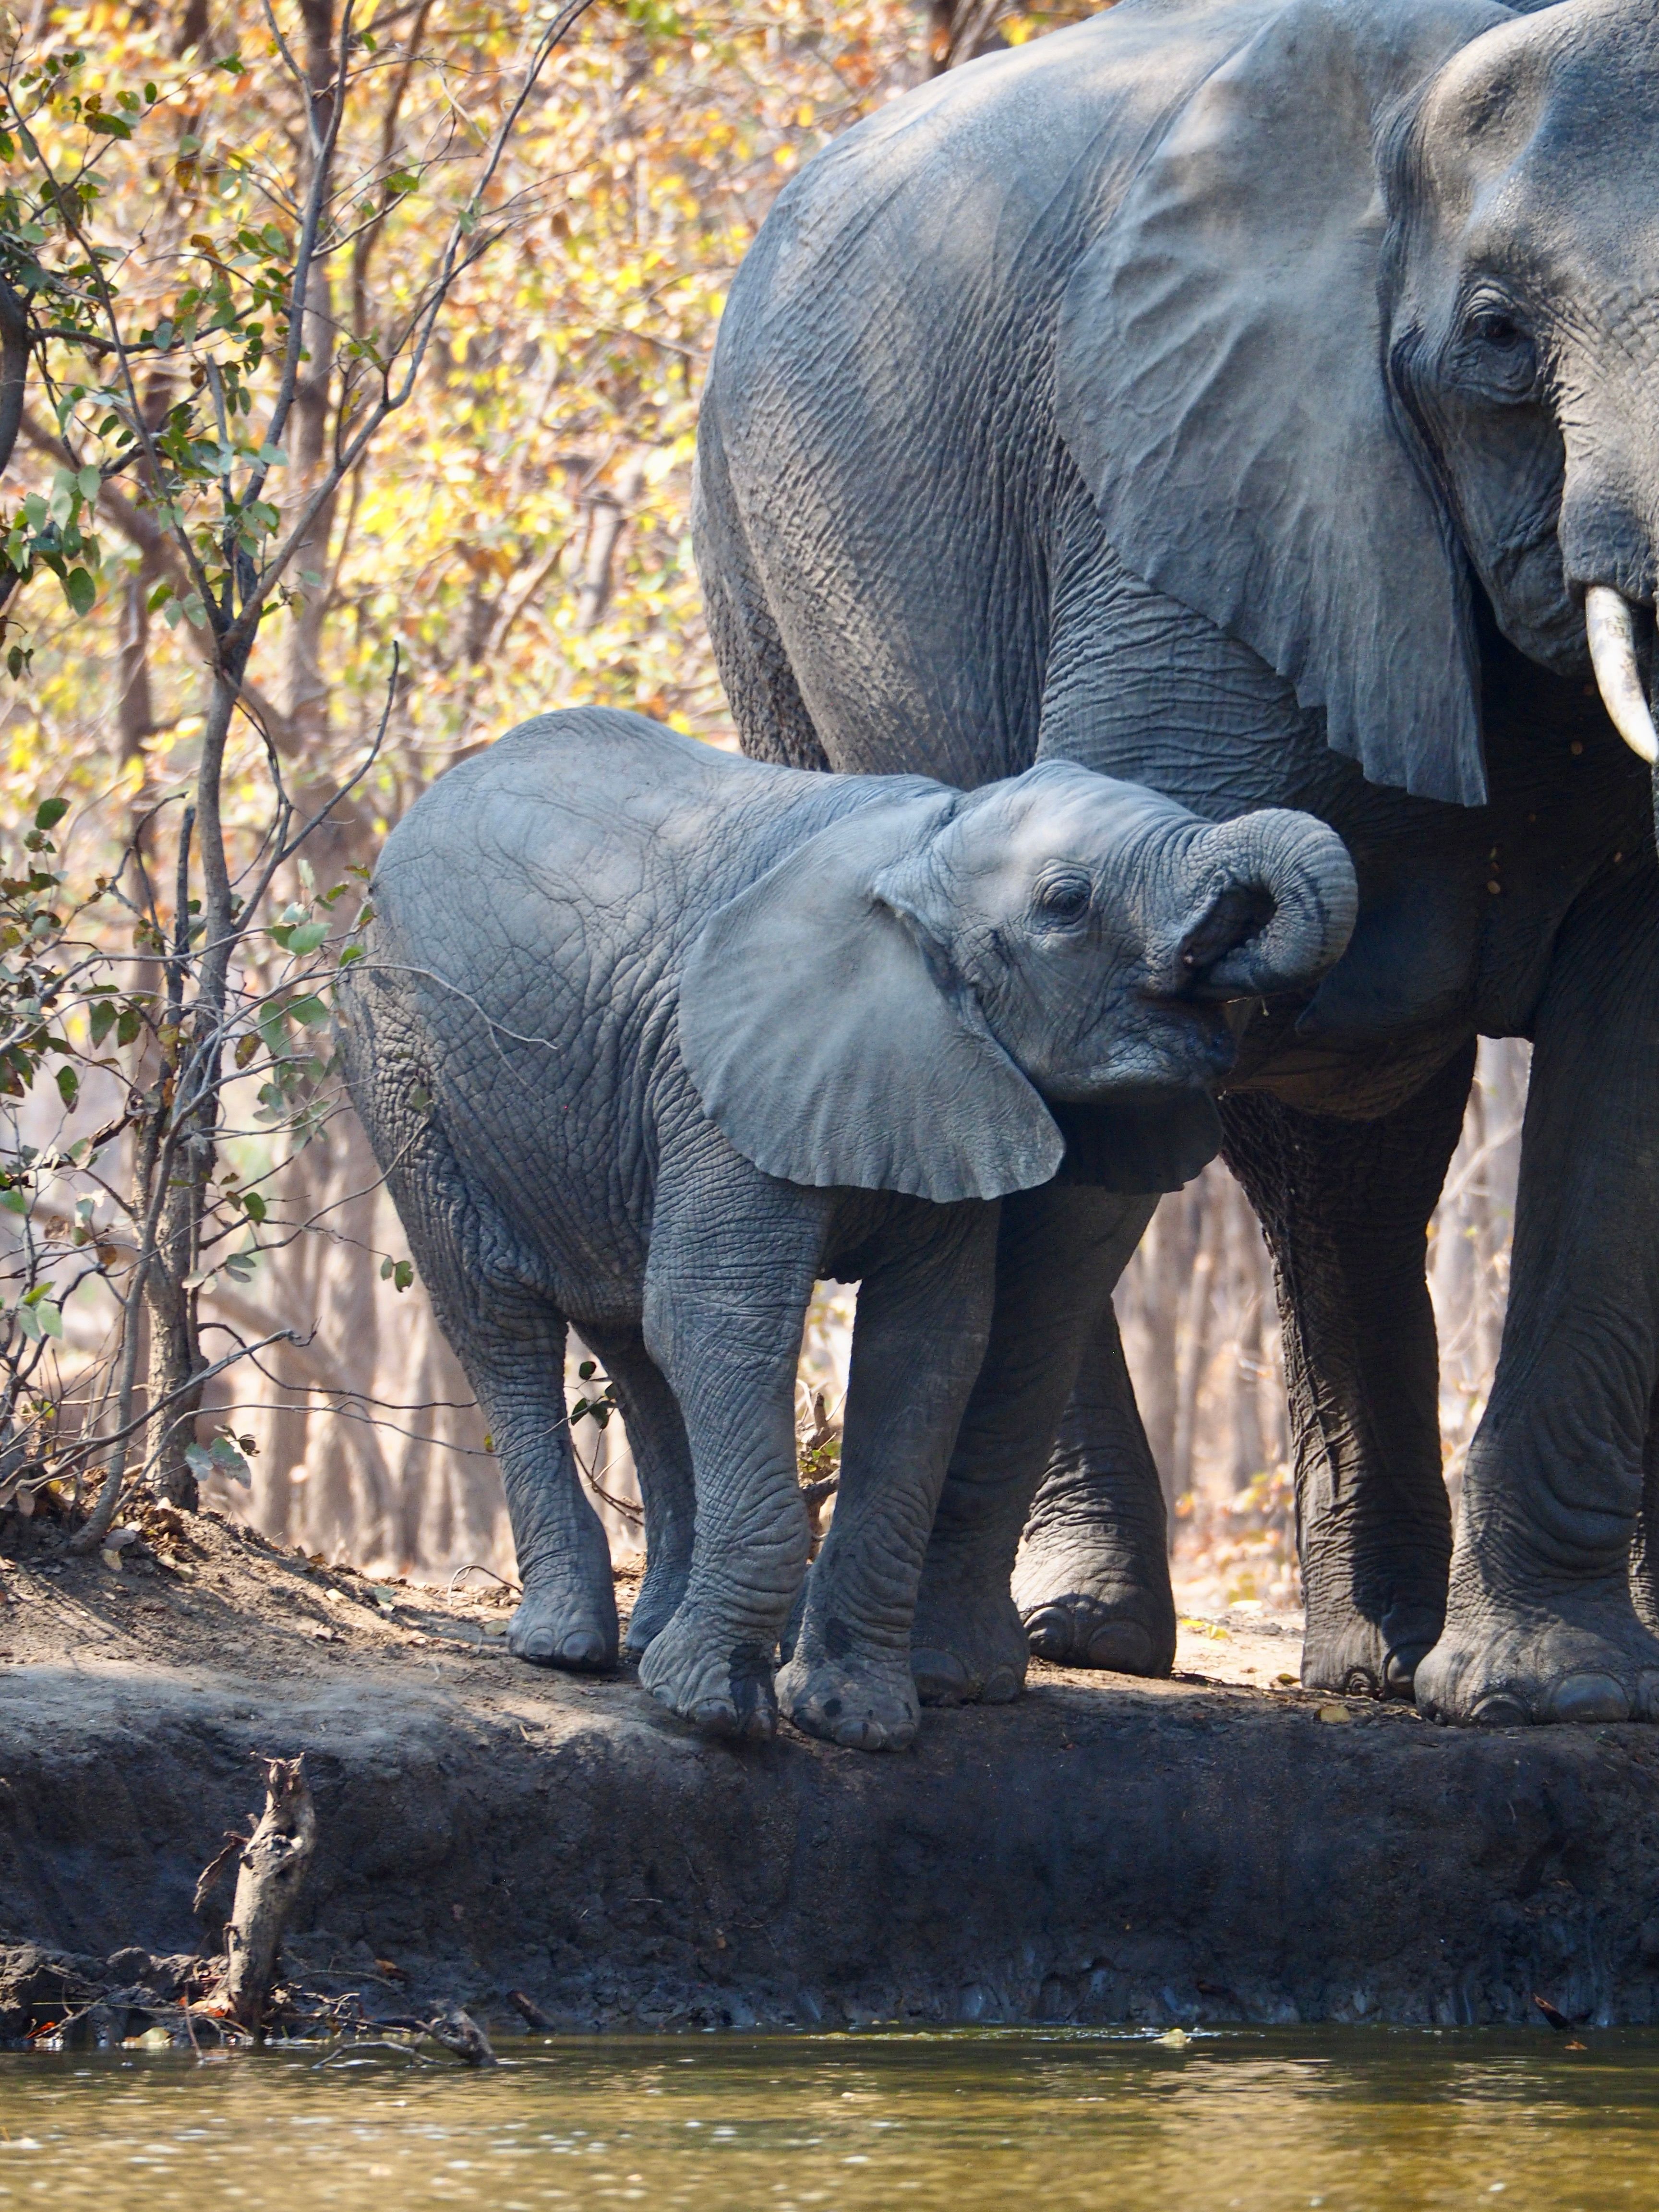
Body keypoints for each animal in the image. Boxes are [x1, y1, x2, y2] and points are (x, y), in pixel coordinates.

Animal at [339, 705, 1354, 1747]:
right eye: (1067, 903)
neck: (928, 847)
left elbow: (929, 1348)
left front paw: (852, 1718)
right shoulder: (717, 1074)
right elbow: (725, 1315)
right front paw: (714, 1710)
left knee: (633, 1341)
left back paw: (650, 1640)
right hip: (395, 1051)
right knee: (498, 1320)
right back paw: (566, 1649)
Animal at [692, 0, 1659, 1727]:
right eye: (1496, 334)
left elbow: (1627, 1086)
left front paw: (1544, 1695)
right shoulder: (1199, 485)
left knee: (1343, 1170)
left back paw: (1375, 1661)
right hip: (762, 590)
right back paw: (1074, 1639)